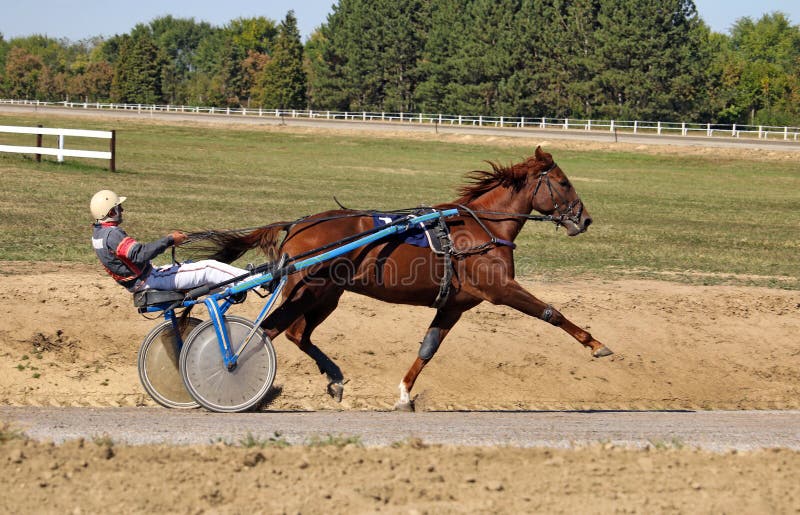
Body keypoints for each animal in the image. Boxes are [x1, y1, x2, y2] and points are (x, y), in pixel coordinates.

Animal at [197, 146, 612, 411]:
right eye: (563, 182)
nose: (586, 219)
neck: (482, 228)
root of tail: (298, 225)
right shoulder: (500, 288)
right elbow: (551, 313)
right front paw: (596, 344)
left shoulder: (455, 305)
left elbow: (428, 349)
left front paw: (404, 395)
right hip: (311, 290)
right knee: (268, 331)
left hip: (326, 295)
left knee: (297, 334)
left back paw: (334, 378)